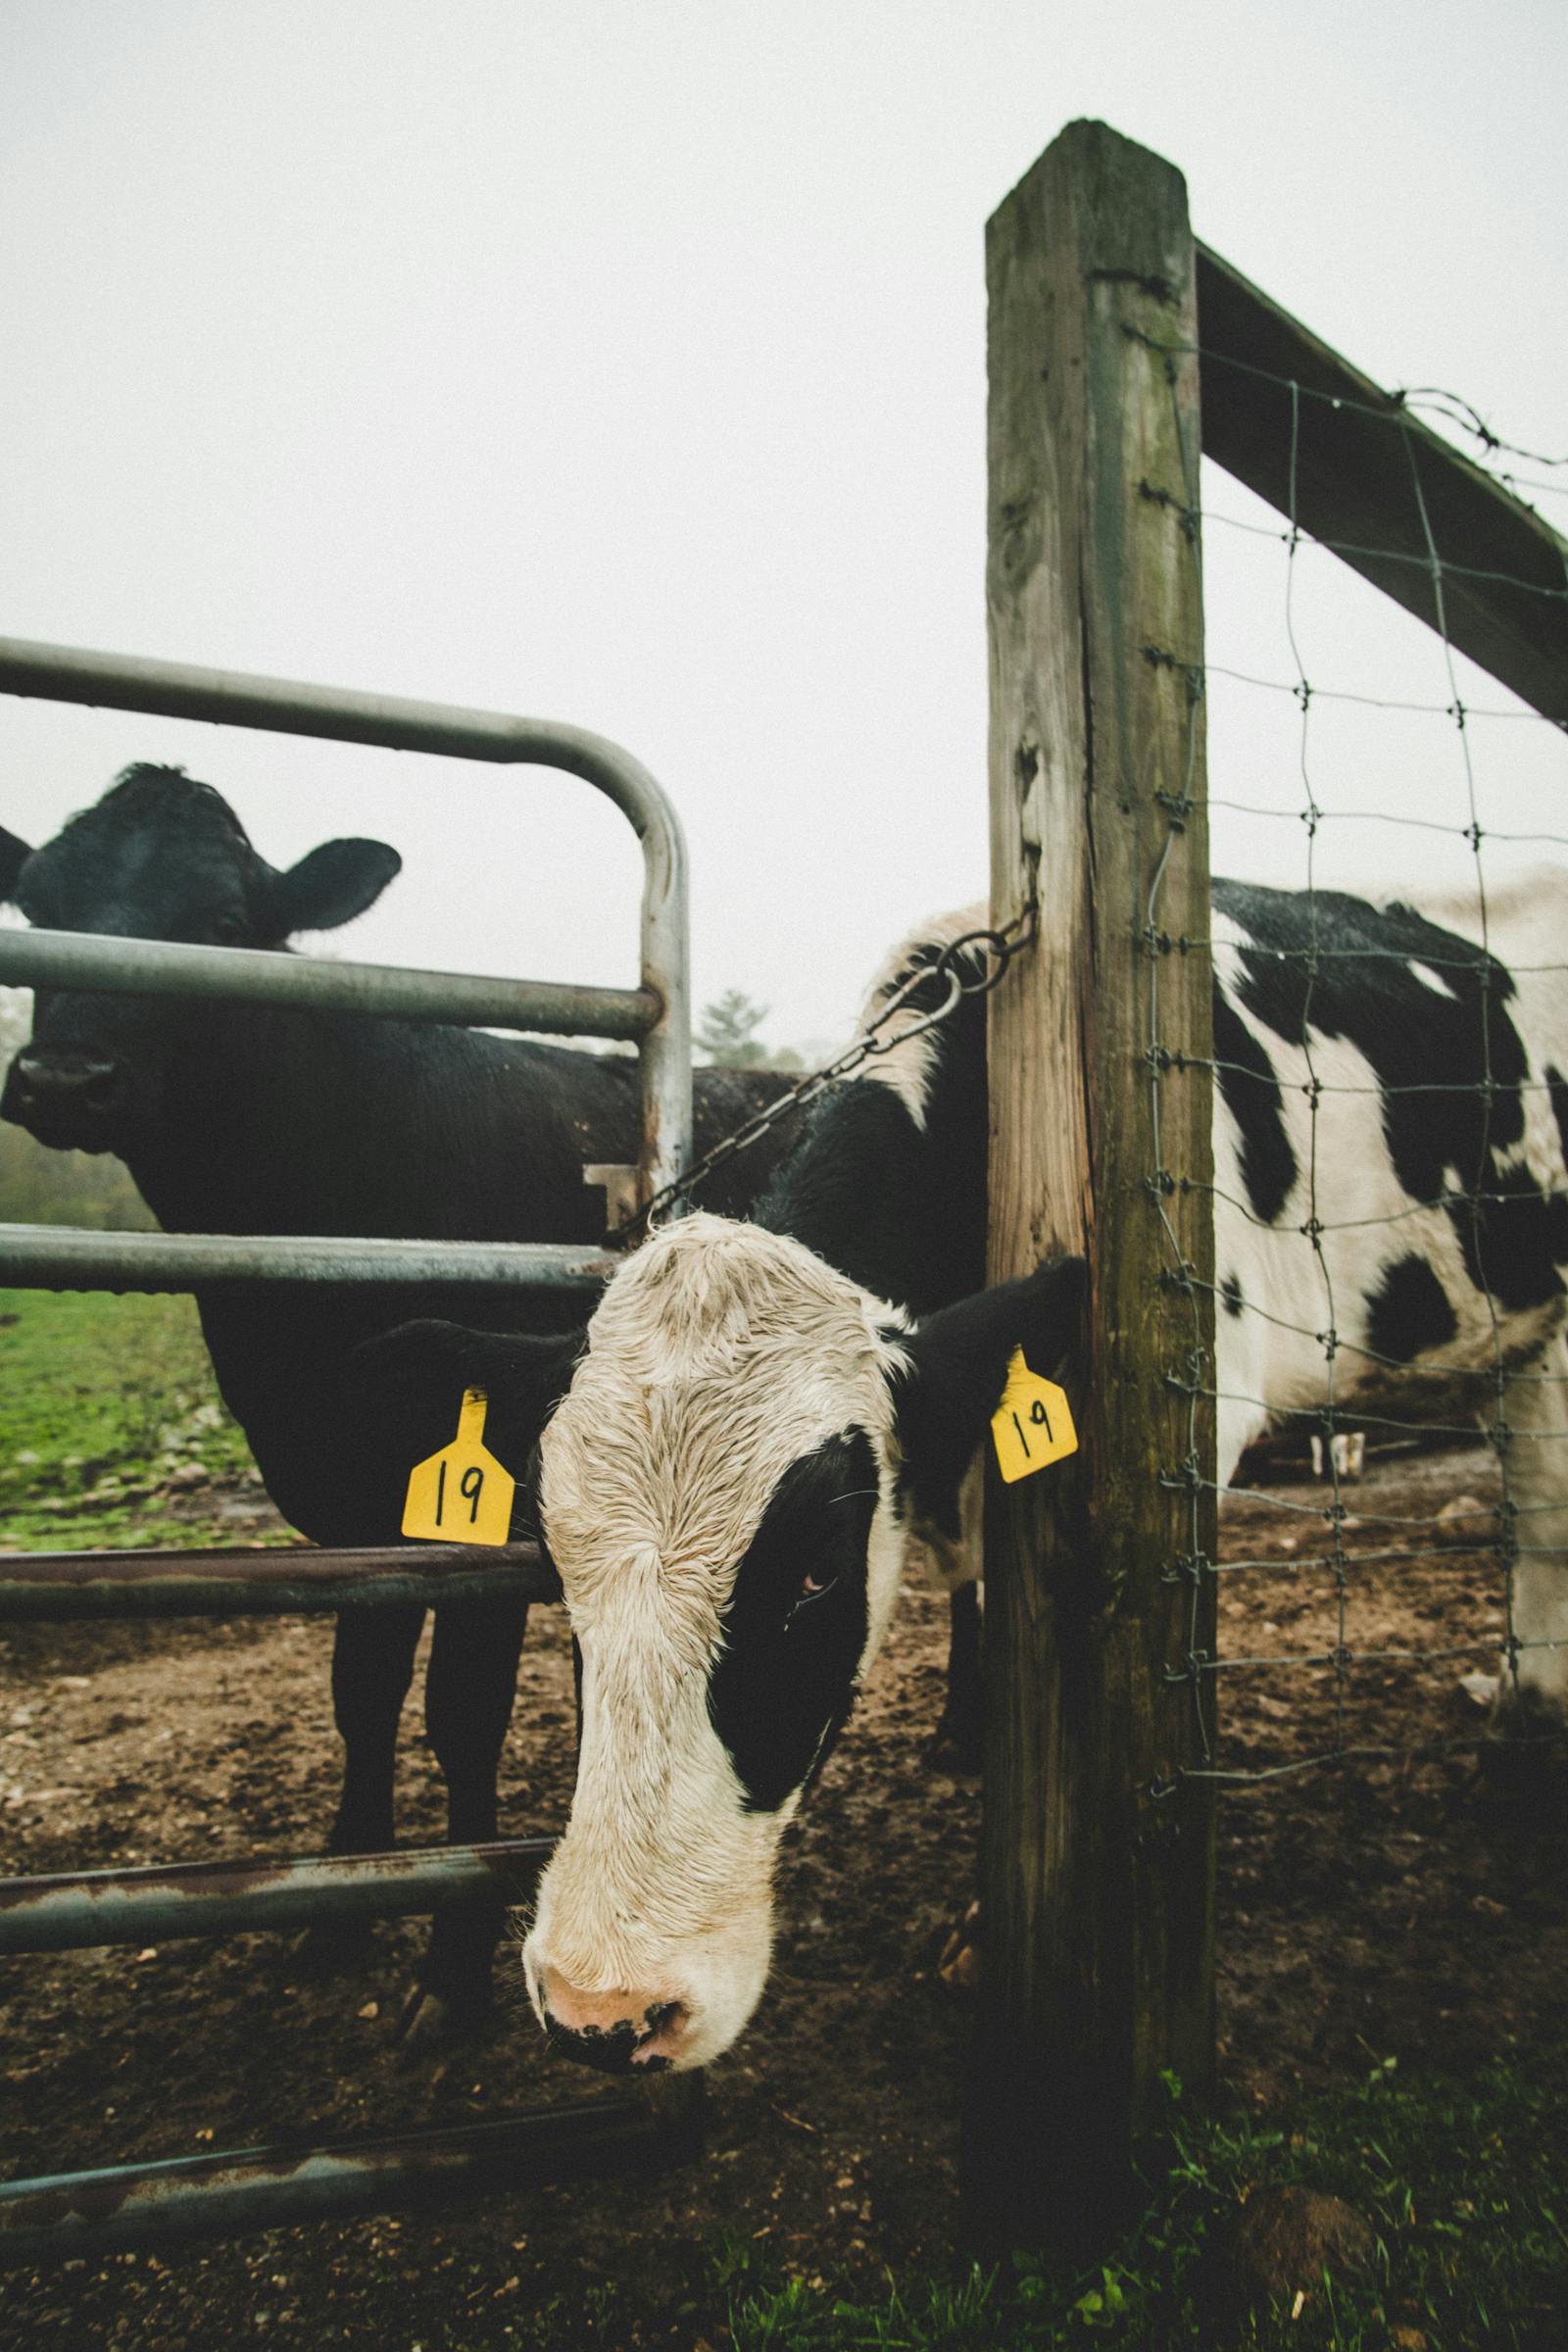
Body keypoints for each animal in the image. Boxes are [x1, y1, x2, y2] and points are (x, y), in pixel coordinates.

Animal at [0, 762, 803, 2039]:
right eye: (38, 910)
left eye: (225, 922)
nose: (65, 1080)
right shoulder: (343, 1503)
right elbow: (363, 1696)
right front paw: (339, 1909)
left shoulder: (490, 1513)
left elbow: (460, 1715)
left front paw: (453, 1963)